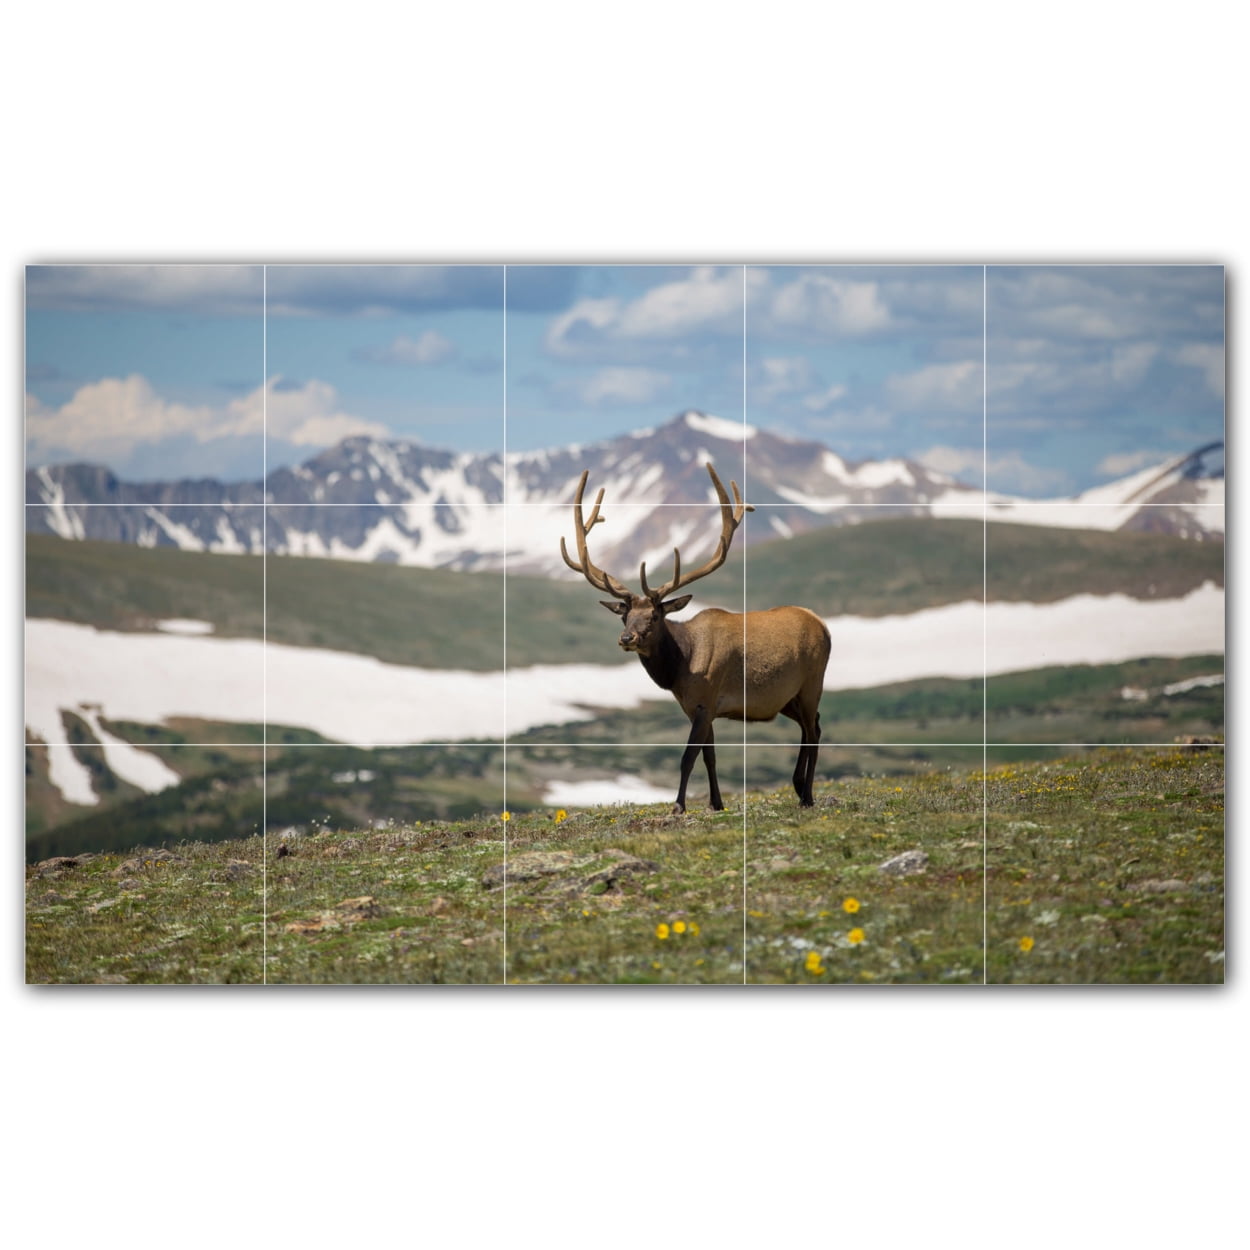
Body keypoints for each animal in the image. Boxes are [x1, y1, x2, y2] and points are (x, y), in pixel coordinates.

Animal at [560, 461, 832, 813]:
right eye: (624, 615)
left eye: (655, 616)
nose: (627, 638)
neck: (681, 667)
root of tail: (822, 624)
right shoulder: (696, 707)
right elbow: (709, 756)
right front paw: (716, 803)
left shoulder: (706, 698)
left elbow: (688, 757)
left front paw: (679, 806)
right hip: (787, 697)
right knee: (813, 725)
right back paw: (798, 787)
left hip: (813, 682)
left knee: (813, 730)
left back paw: (808, 795)